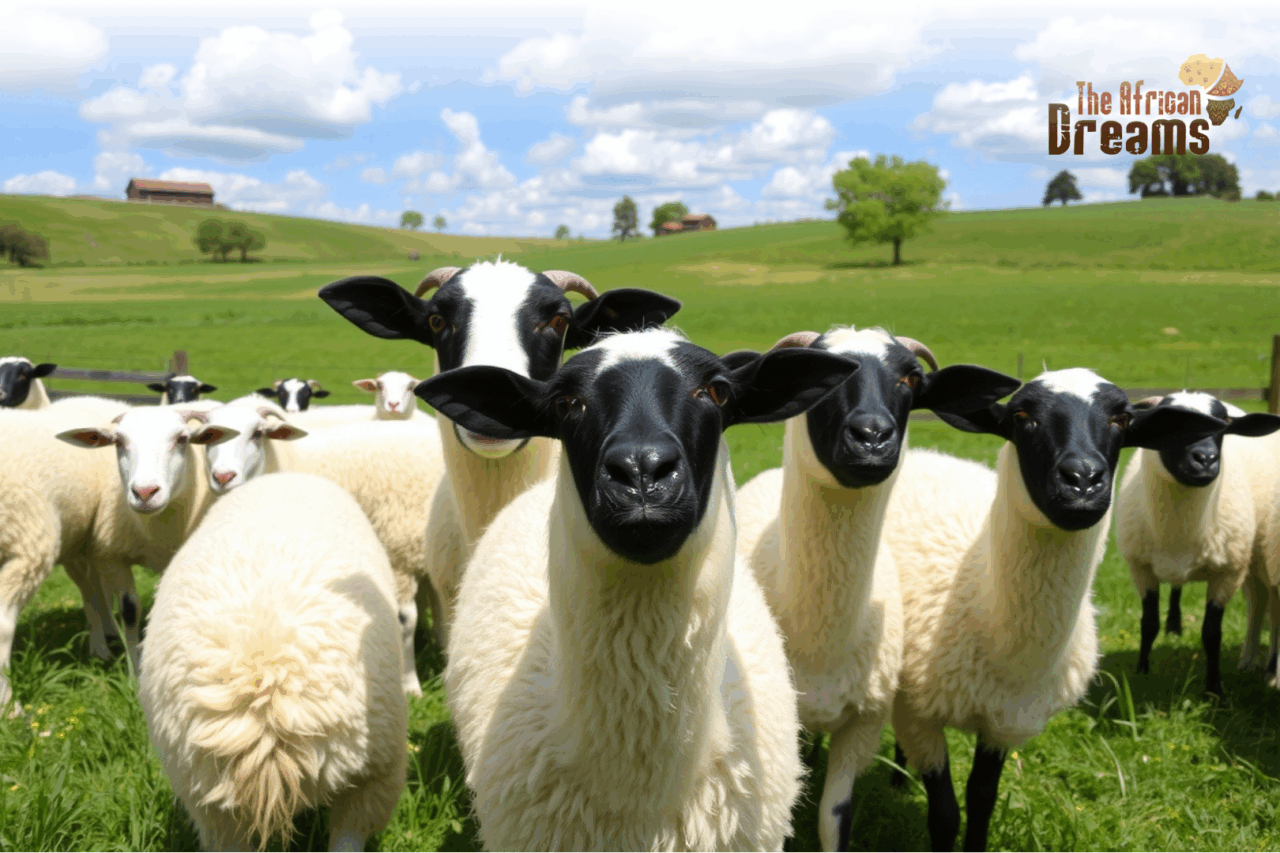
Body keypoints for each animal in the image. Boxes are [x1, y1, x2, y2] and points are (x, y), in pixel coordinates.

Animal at [202, 399, 443, 697]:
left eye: (257, 433)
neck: (289, 461)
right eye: (207, 436)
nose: (222, 477)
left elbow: (404, 620)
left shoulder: (398, 552)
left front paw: (409, 685)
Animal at [733, 327, 1018, 852]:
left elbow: (834, 818)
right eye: (823, 375)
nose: (871, 437)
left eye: (910, 378)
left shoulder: (864, 721)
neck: (822, 637)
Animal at [876, 368, 1227, 852]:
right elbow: (945, 816)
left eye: (1121, 419)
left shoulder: (1005, 719)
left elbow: (981, 801)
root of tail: (927, 455)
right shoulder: (919, 713)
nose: (1082, 480)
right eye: (1022, 416)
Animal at [1114, 392, 1280, 694]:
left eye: (1225, 426)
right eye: (1170, 424)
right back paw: (1248, 661)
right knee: (1257, 601)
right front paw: (1141, 674)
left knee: (1273, 610)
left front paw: (1214, 689)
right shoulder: (1141, 568)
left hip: (1265, 553)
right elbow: (1148, 624)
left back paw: (1272, 671)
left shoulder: (1227, 572)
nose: (1205, 459)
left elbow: (1211, 634)